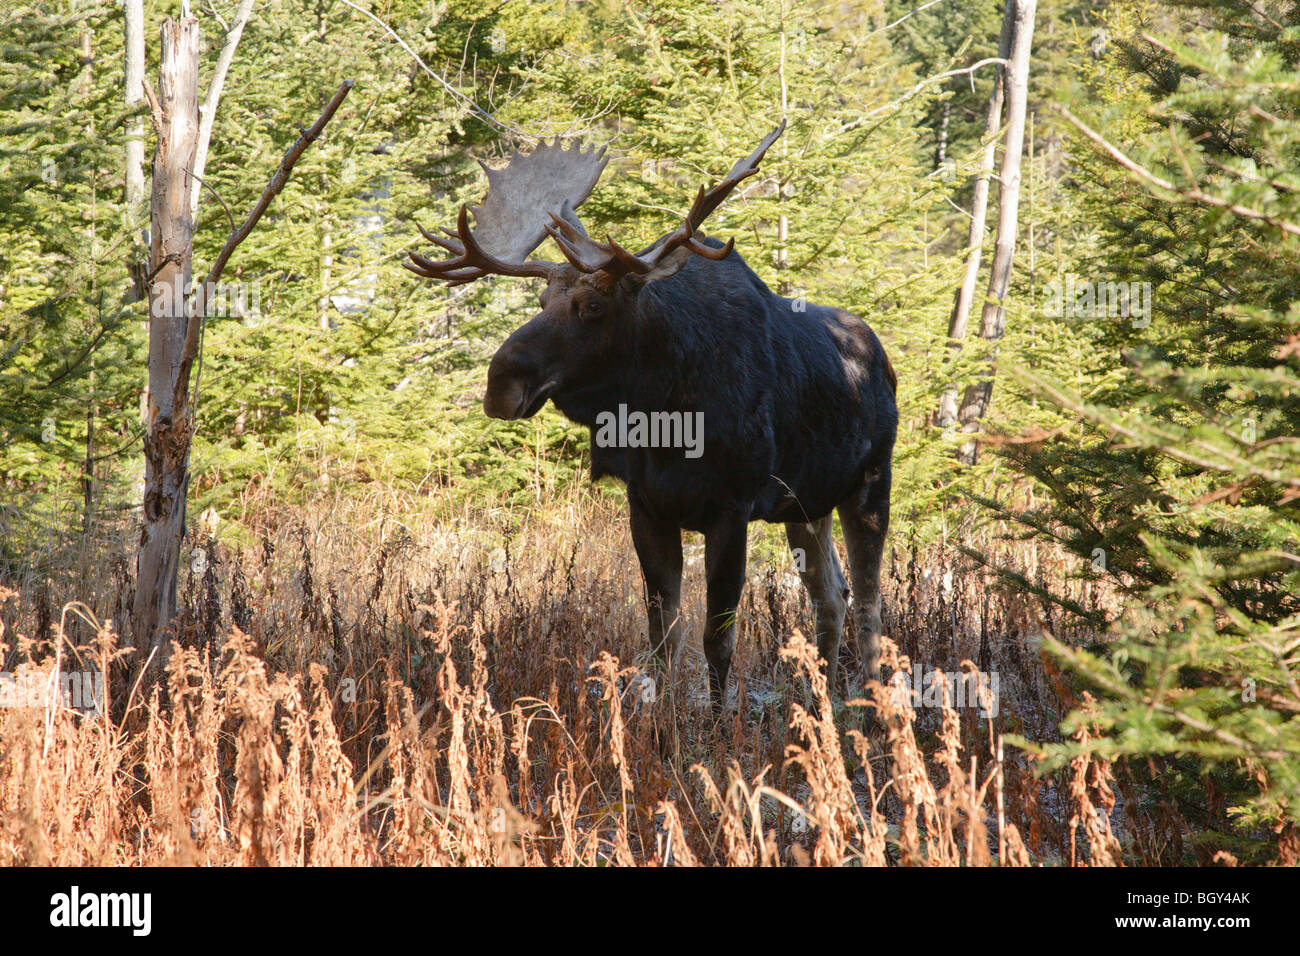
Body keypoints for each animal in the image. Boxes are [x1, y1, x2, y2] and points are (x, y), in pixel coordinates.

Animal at [406, 122, 897, 715]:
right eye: (543, 299)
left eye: (594, 306)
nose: (500, 383)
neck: (665, 414)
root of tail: (885, 362)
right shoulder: (647, 505)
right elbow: (662, 632)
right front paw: (660, 720)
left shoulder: (731, 507)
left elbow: (717, 636)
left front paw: (716, 722)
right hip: (805, 505)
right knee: (833, 595)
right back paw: (822, 700)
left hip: (870, 483)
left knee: (869, 599)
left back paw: (868, 706)